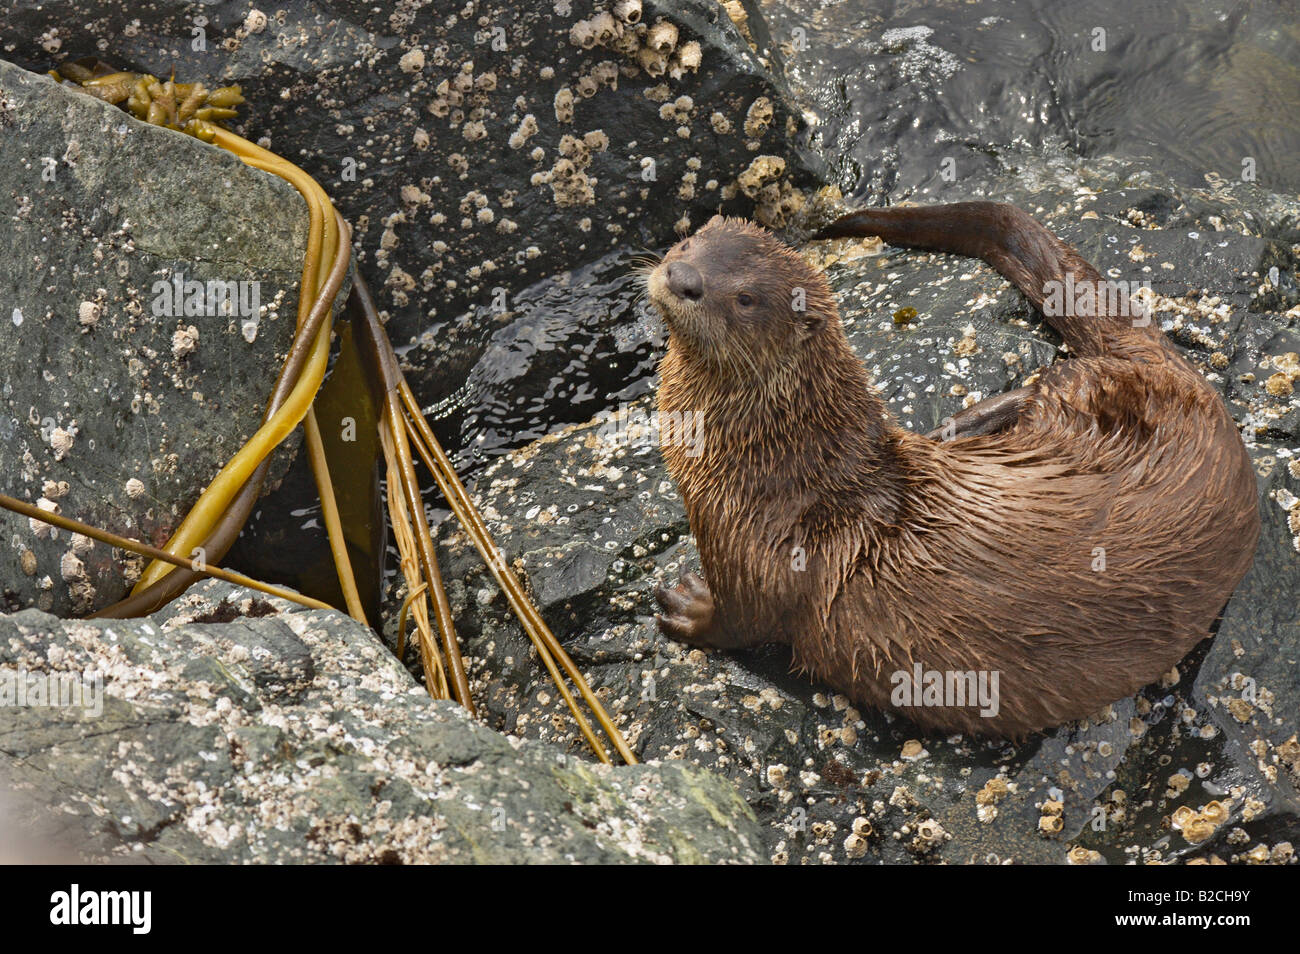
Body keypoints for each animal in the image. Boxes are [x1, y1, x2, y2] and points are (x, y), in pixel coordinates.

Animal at [647, 203, 1259, 737]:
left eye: (745, 298)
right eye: (686, 244)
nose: (681, 276)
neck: (776, 464)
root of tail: (1196, 392)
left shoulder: (752, 557)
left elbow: (739, 623)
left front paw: (687, 605)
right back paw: (953, 430)